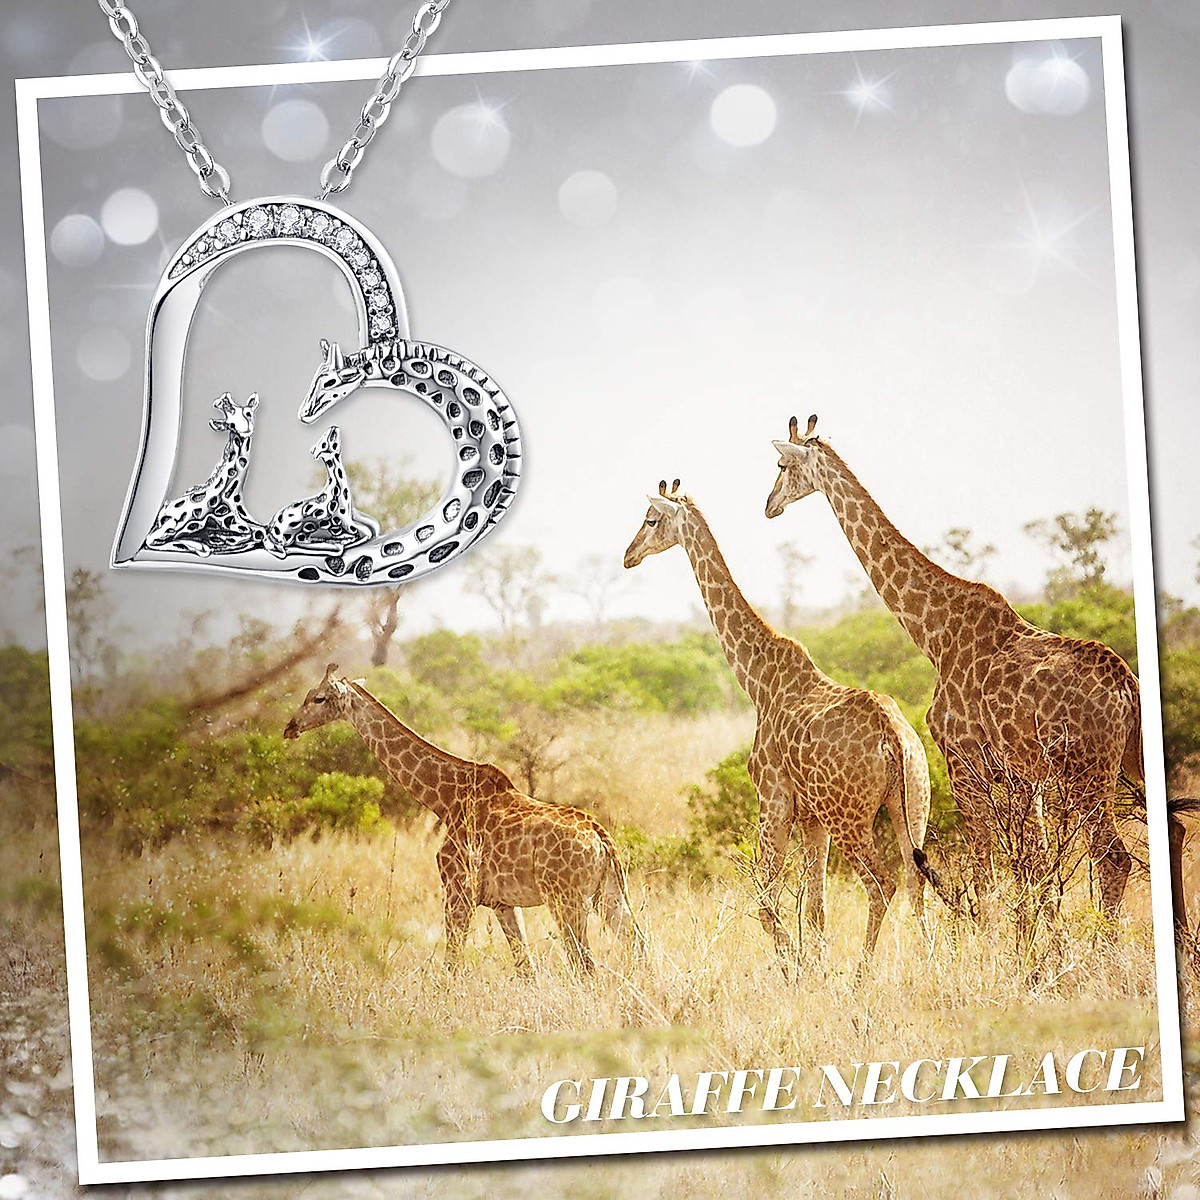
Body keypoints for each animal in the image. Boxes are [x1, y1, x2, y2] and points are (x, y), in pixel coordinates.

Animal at [143, 392, 262, 556]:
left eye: (248, 413)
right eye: (230, 425)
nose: (223, 400)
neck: (234, 495)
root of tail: (161, 516)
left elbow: (260, 531)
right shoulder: (231, 520)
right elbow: (251, 534)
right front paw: (216, 540)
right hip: (172, 524)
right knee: (152, 540)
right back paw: (201, 546)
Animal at [266, 426, 379, 557]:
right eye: (323, 442)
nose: (333, 427)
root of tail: (271, 529)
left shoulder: (354, 516)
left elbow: (374, 525)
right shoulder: (346, 522)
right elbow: (367, 532)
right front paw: (345, 539)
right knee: (295, 543)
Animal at [283, 664, 645, 974]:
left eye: (319, 698)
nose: (290, 727)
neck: (444, 800)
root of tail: (601, 837)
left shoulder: (458, 890)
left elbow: (452, 964)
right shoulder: (501, 903)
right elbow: (525, 967)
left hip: (565, 899)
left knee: (585, 963)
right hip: (608, 895)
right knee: (638, 943)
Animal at [623, 480, 931, 968]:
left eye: (651, 519)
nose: (629, 555)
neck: (756, 680)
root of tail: (895, 739)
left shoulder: (773, 801)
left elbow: (766, 900)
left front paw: (795, 965)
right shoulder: (812, 819)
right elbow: (817, 907)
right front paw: (815, 964)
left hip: (850, 818)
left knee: (881, 883)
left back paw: (861, 973)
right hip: (912, 804)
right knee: (917, 879)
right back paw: (927, 961)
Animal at [764, 415, 1144, 927]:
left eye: (782, 465)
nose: (768, 506)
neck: (934, 635)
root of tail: (1128, 687)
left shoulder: (962, 760)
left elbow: (987, 870)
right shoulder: (1022, 777)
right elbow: (1035, 870)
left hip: (1087, 773)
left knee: (1114, 857)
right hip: (1120, 766)